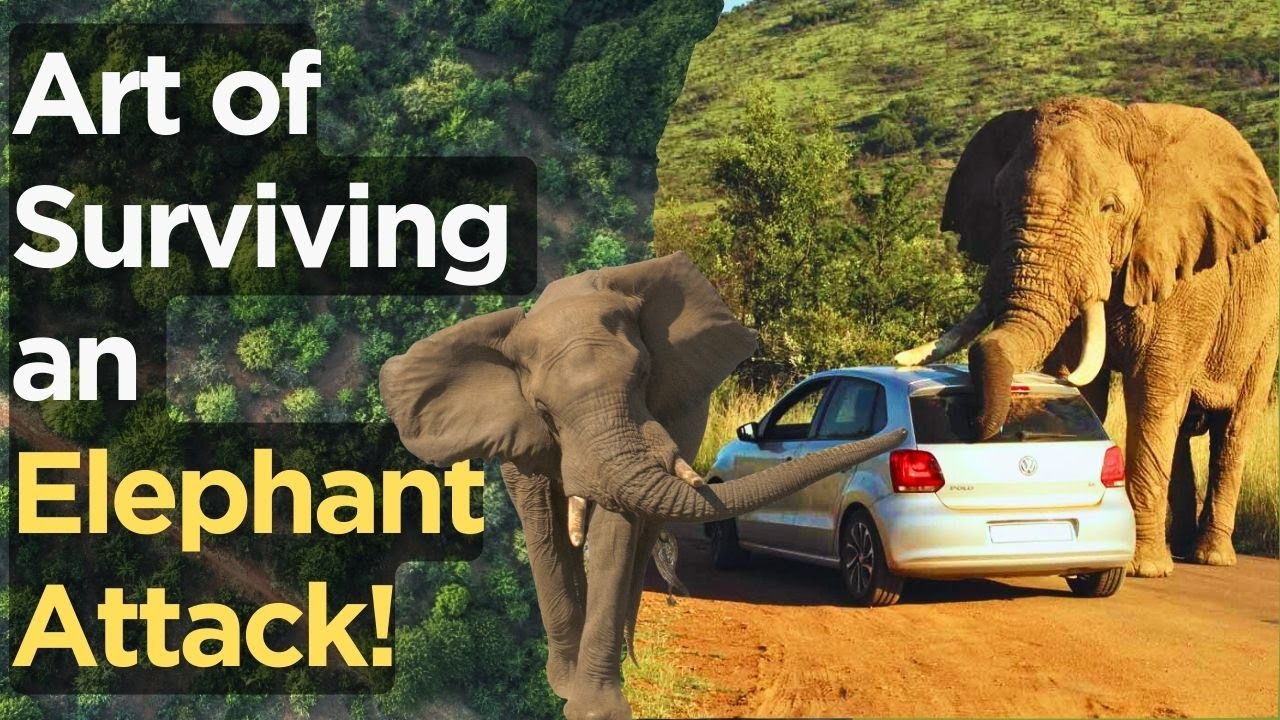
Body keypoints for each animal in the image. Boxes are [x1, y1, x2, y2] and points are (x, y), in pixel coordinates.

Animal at [380, 252, 905, 720]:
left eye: (645, 376)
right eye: (543, 409)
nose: (901, 432)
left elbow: (615, 533)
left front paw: (597, 707)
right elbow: (545, 529)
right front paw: (566, 689)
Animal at [895, 97, 1279, 579]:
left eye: (1109, 207)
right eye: (999, 202)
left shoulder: (1187, 278)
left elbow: (1151, 392)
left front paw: (1140, 568)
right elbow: (1086, 386)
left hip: (1266, 326)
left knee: (1232, 428)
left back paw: (1209, 556)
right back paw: (1180, 548)